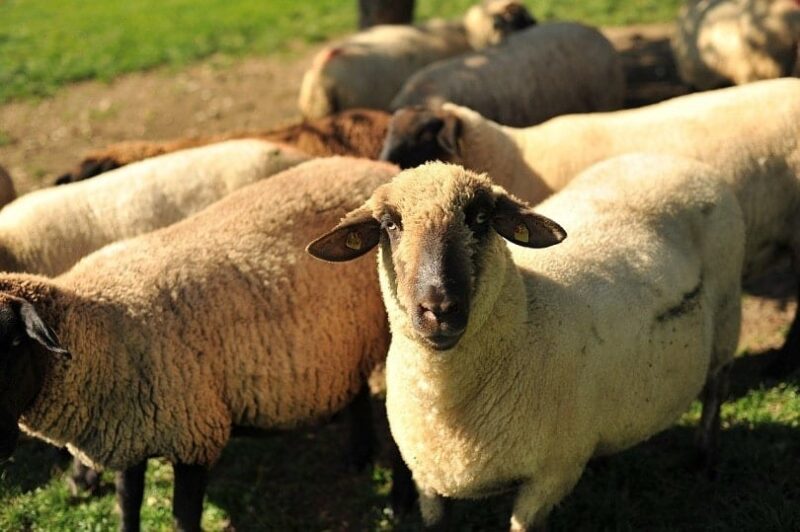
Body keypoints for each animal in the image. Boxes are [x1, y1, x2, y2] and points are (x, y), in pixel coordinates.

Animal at [0, 157, 412, 531]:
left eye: (15, 342)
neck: (102, 324)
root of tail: (385, 169)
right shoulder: (131, 433)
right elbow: (127, 504)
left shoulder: (194, 434)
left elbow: (183, 517)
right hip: (346, 336)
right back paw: (358, 454)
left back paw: (392, 494)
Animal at [307, 156, 745, 530]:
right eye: (390, 225)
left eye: (480, 218)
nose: (438, 308)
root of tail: (673, 160)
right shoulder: (427, 481)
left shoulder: (550, 477)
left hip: (726, 318)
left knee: (718, 386)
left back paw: (705, 459)